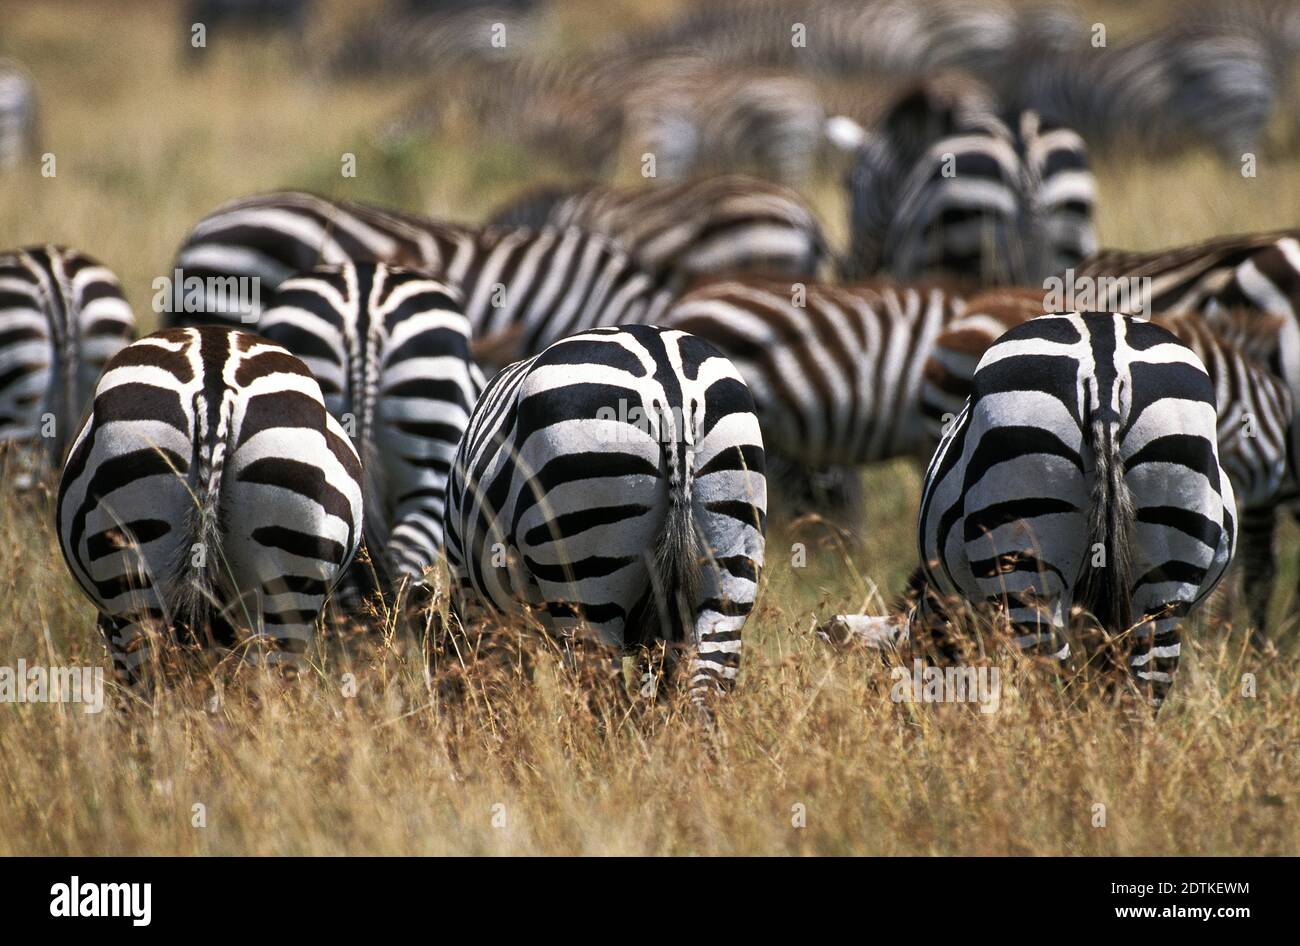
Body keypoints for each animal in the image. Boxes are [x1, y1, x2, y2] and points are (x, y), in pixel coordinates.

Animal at [442, 324, 767, 702]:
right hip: (731, 554)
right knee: (706, 679)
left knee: (602, 698)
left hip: (583, 573)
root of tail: (670, 382)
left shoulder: (479, 600)